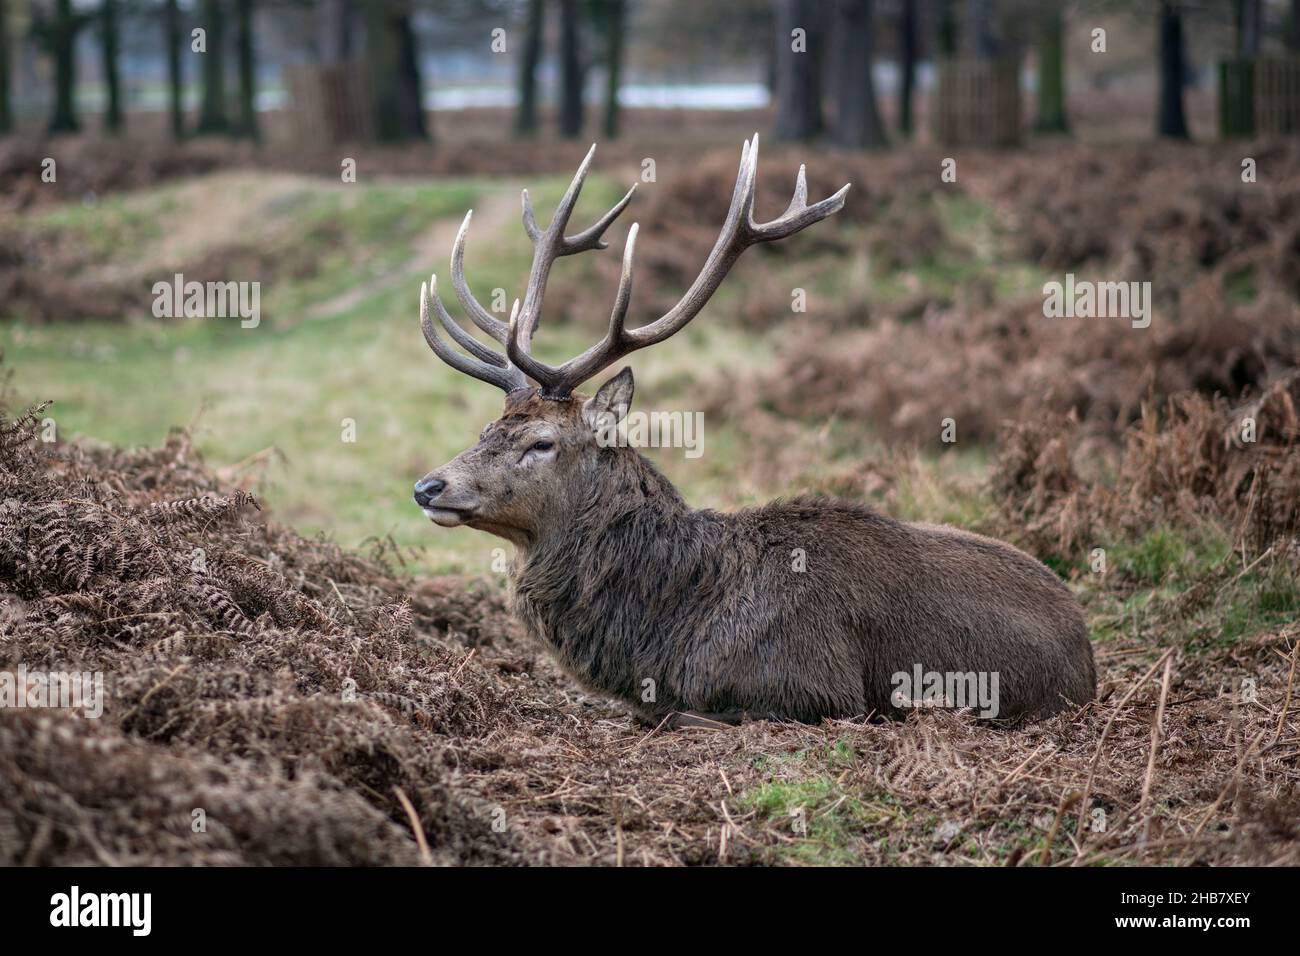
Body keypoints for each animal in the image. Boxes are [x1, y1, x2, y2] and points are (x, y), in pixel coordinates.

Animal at [411, 136, 1096, 729]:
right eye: (487, 428)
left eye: (541, 443)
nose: (428, 486)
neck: (672, 636)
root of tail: (1089, 655)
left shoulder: (818, 691)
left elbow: (676, 718)